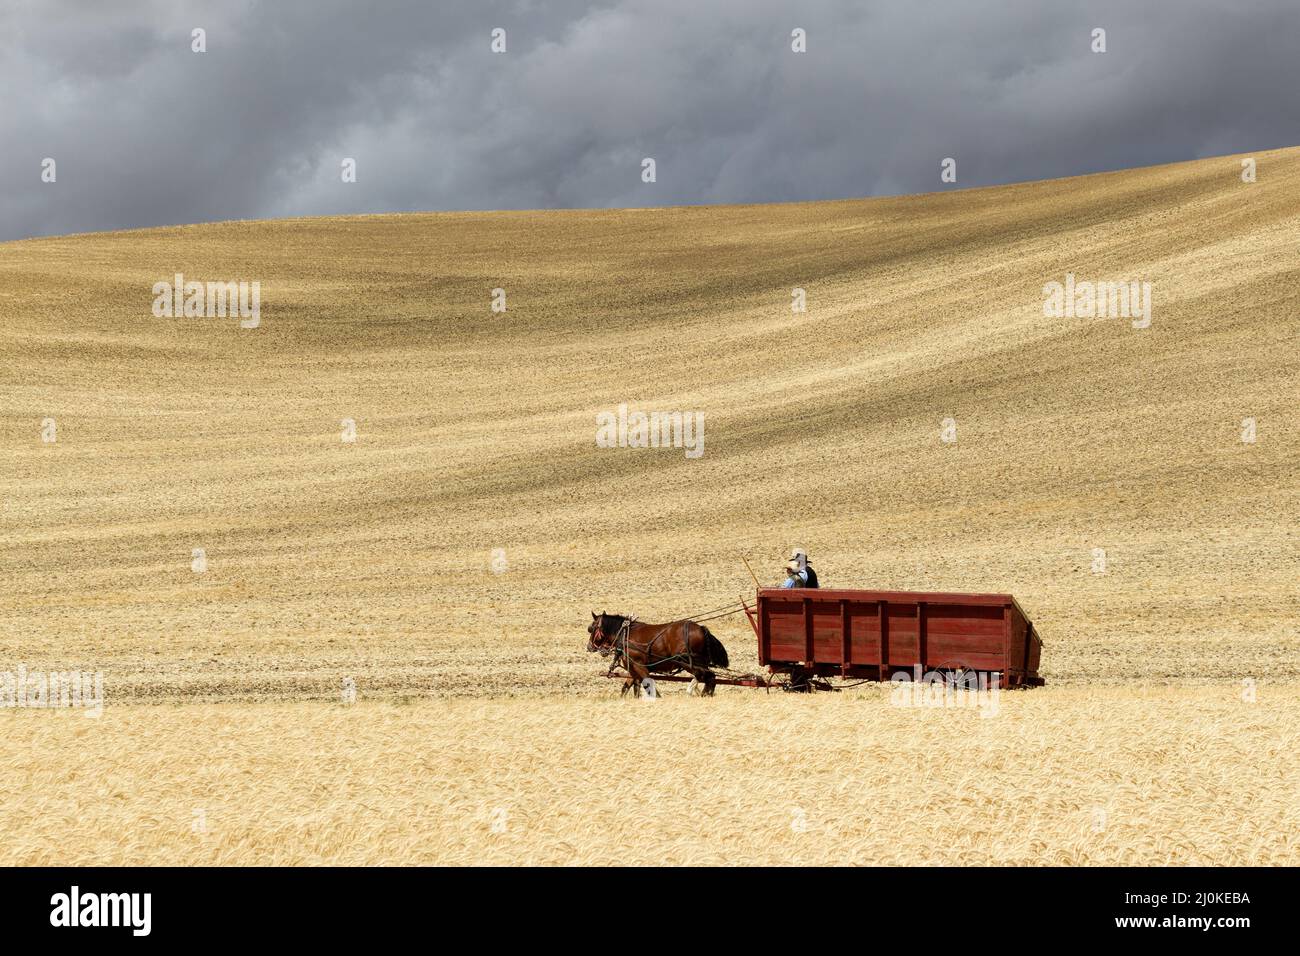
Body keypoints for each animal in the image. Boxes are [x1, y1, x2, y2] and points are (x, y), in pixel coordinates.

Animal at [586, 610, 730, 697]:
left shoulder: (639, 666)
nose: (589, 647)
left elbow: (649, 685)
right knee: (710, 678)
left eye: (591, 628)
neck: (625, 634)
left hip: (688, 662)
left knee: (705, 676)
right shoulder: (633, 670)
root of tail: (701, 629)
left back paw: (693, 692)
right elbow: (629, 687)